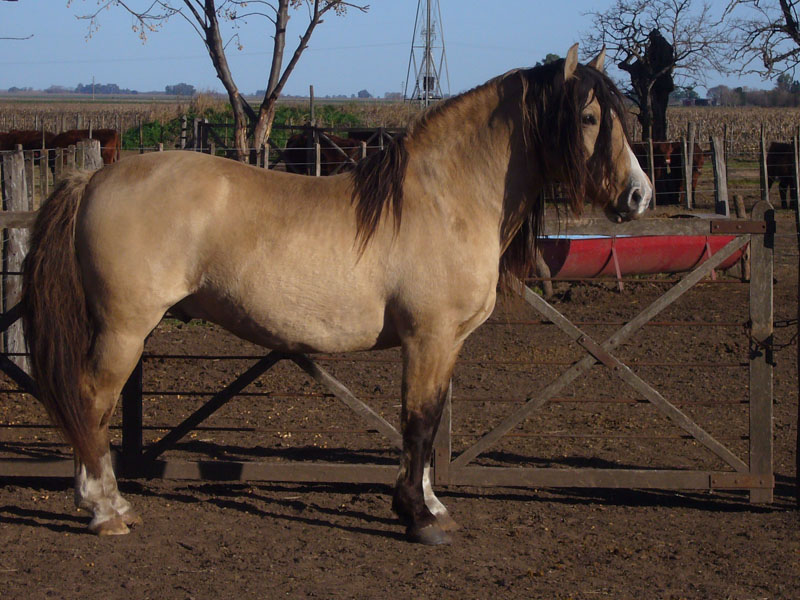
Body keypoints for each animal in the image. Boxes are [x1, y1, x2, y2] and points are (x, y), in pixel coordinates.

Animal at [21, 44, 651, 545]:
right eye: (589, 116)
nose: (639, 196)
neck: (445, 200)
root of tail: (93, 179)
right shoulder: (428, 339)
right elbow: (419, 422)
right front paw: (418, 517)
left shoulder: (444, 344)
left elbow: (428, 422)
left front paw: (432, 505)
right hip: (124, 329)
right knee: (90, 403)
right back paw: (106, 512)